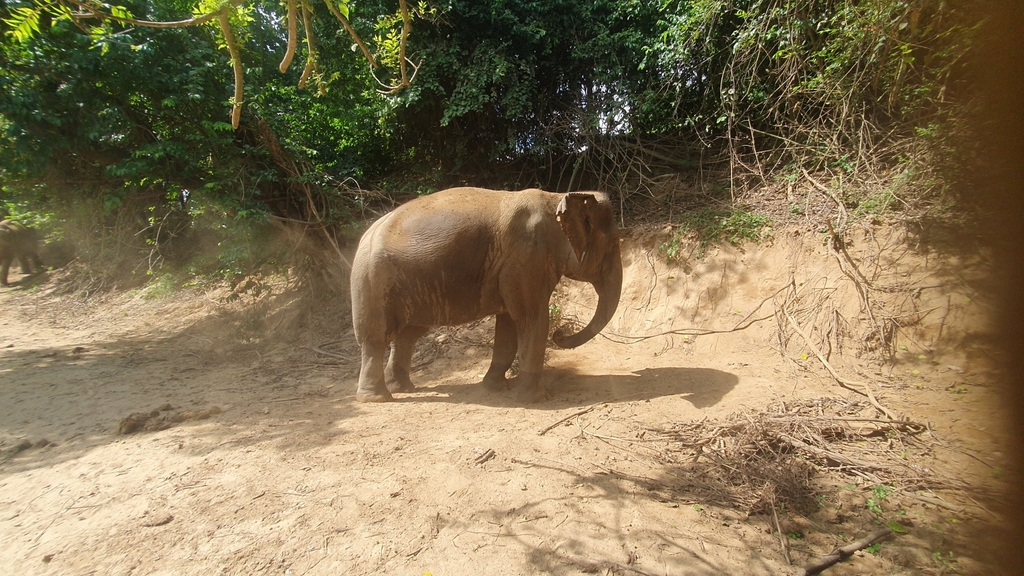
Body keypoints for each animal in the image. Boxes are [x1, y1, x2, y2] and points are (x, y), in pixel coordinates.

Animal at [350, 187, 623, 403]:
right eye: (613, 245)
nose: (560, 334)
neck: (556, 198)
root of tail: (367, 234)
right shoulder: (526, 258)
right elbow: (532, 319)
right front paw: (537, 399)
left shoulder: (514, 268)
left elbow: (509, 324)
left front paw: (495, 387)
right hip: (373, 282)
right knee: (376, 337)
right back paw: (376, 398)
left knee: (408, 334)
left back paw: (402, 388)